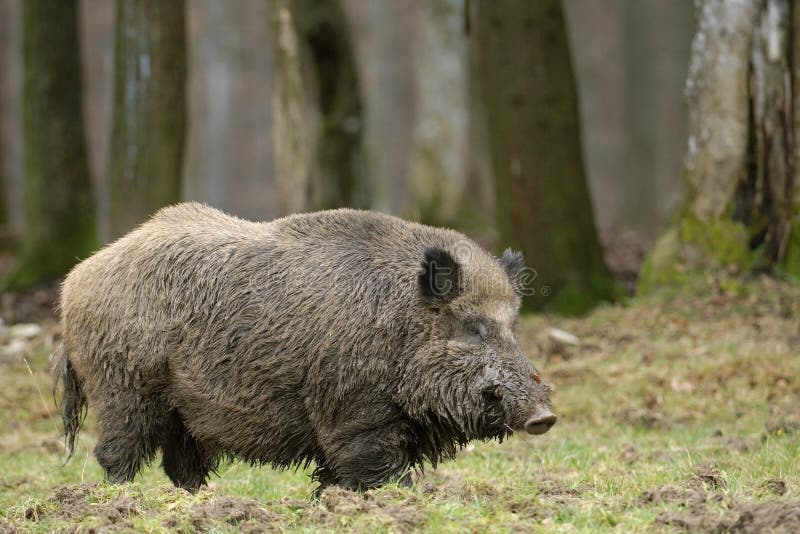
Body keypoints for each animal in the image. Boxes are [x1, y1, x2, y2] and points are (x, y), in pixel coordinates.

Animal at [54, 203, 555, 493]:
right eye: (472, 328)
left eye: (512, 325)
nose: (545, 417)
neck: (400, 327)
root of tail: (74, 280)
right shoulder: (353, 411)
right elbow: (373, 466)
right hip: (123, 386)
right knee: (117, 452)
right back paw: (120, 500)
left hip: (185, 407)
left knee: (183, 465)